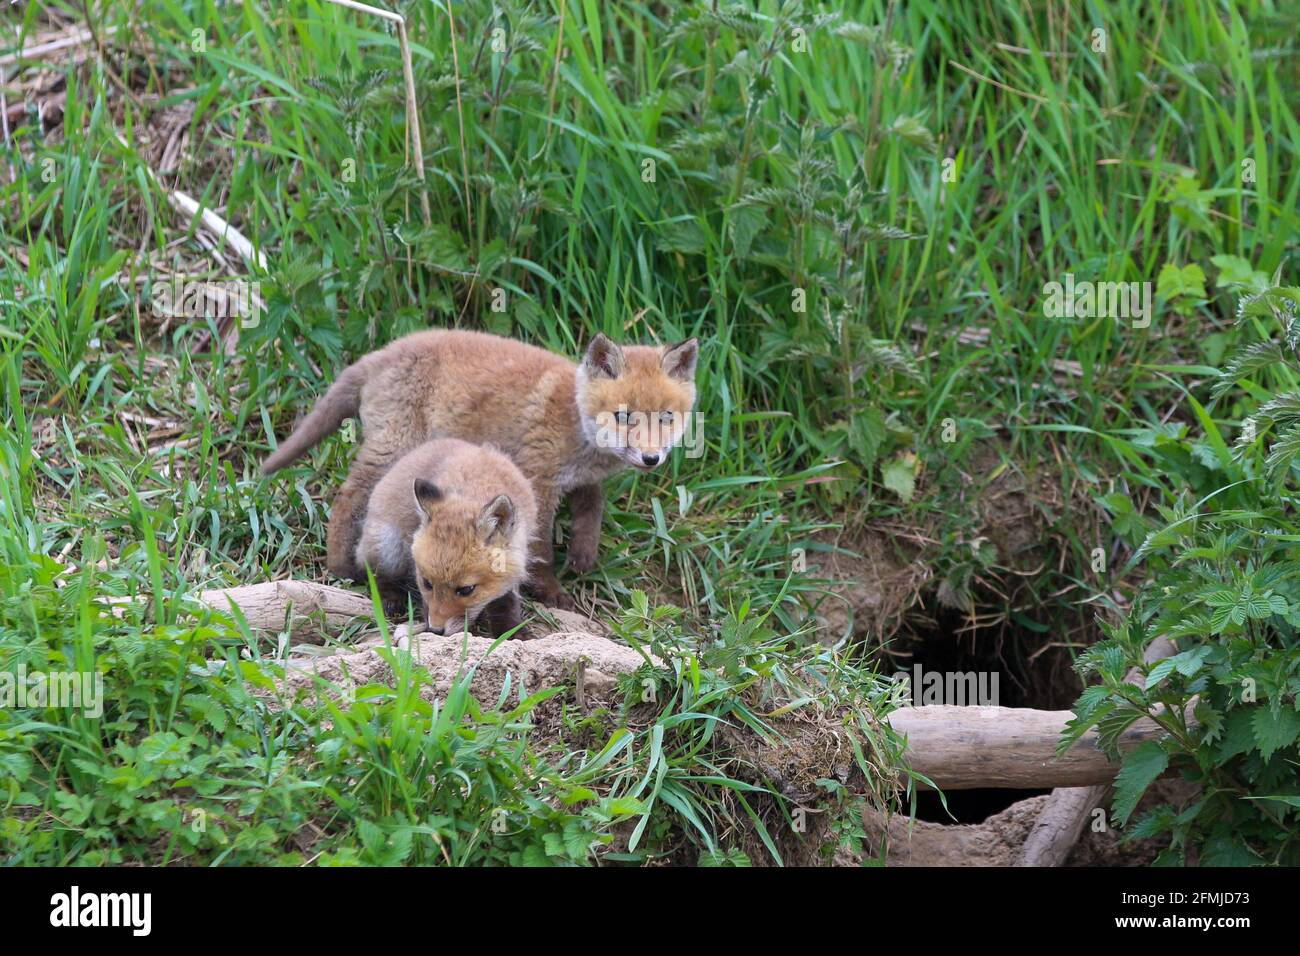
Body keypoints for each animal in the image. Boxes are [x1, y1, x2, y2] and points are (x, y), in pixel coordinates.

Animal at [261, 328, 699, 608]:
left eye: (666, 418)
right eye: (623, 416)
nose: (651, 459)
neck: (578, 427)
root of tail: (381, 352)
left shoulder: (585, 483)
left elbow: (590, 517)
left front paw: (582, 558)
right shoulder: (538, 480)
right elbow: (539, 550)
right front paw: (550, 591)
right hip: (392, 448)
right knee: (348, 497)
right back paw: (341, 568)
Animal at [355, 438, 537, 636]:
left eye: (466, 590)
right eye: (427, 583)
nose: (435, 630)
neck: (477, 483)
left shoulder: (517, 552)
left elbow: (506, 599)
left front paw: (511, 631)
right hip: (389, 547)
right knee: (375, 573)